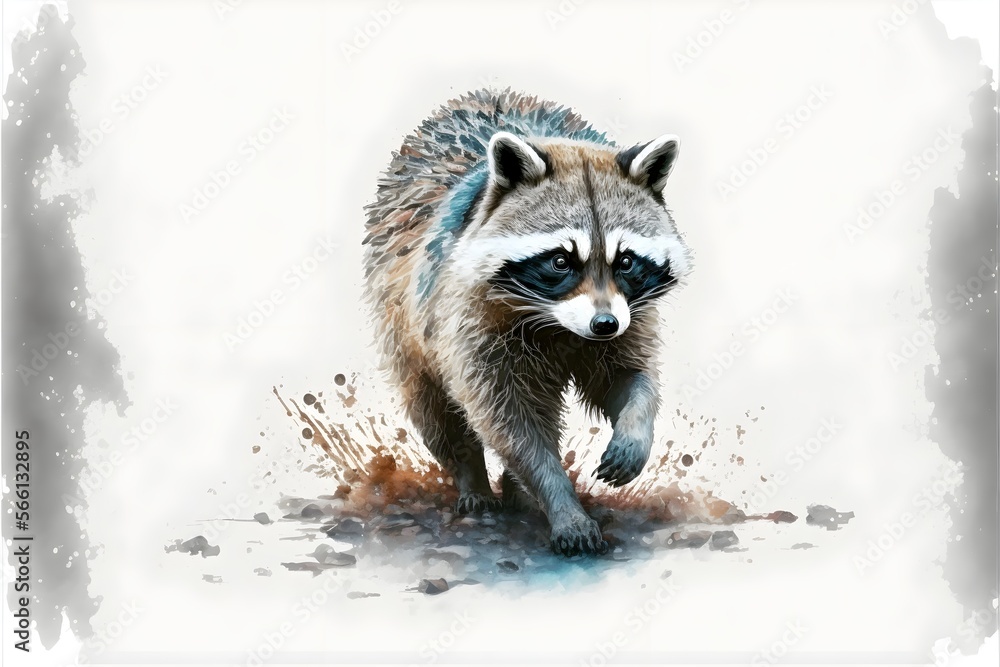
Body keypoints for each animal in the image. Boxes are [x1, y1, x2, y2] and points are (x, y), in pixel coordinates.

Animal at [363, 89, 690, 556]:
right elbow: (510, 423)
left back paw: (516, 490)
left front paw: (634, 432)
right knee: (435, 409)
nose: (604, 324)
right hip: (403, 318)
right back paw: (475, 479)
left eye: (626, 261)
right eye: (560, 261)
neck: (557, 324)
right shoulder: (465, 318)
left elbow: (631, 378)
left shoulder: (632, 314)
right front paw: (559, 498)